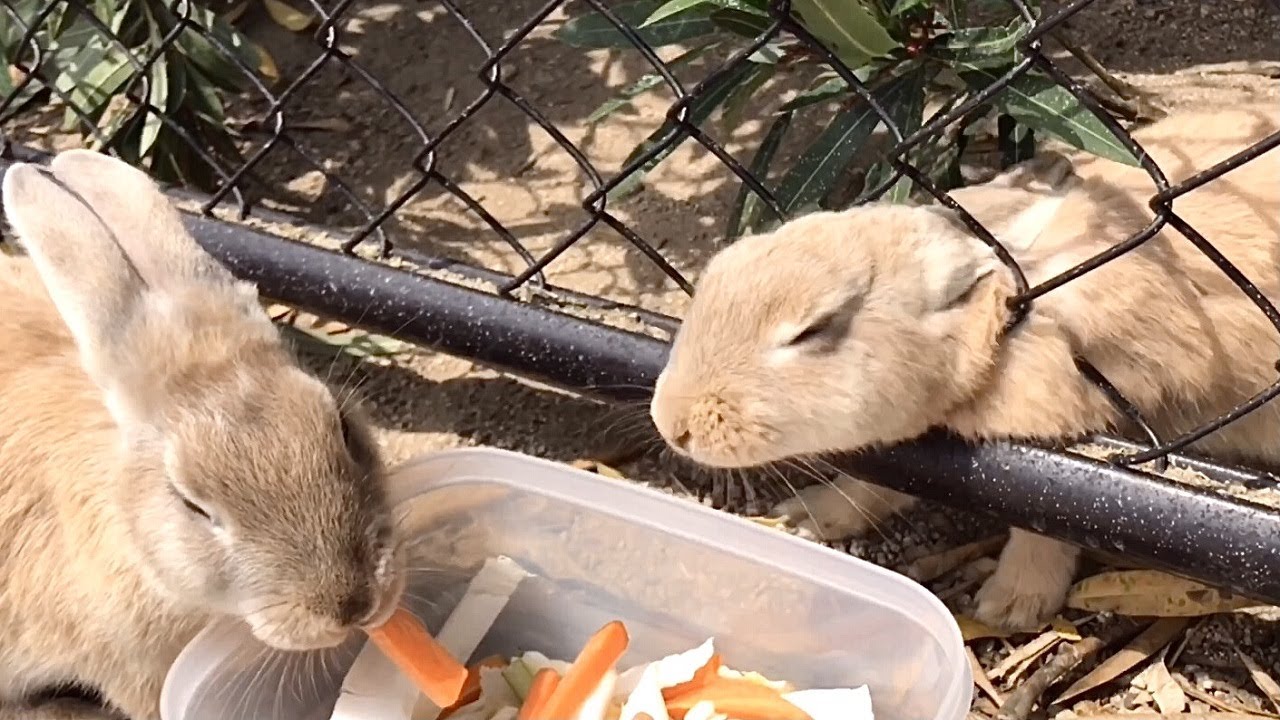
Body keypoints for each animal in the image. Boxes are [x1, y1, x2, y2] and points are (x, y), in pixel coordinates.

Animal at [650, 101, 1280, 631]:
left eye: (814, 329)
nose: (670, 423)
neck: (999, 324)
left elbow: (1043, 525)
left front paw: (1011, 607)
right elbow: (873, 484)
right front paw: (805, 516)